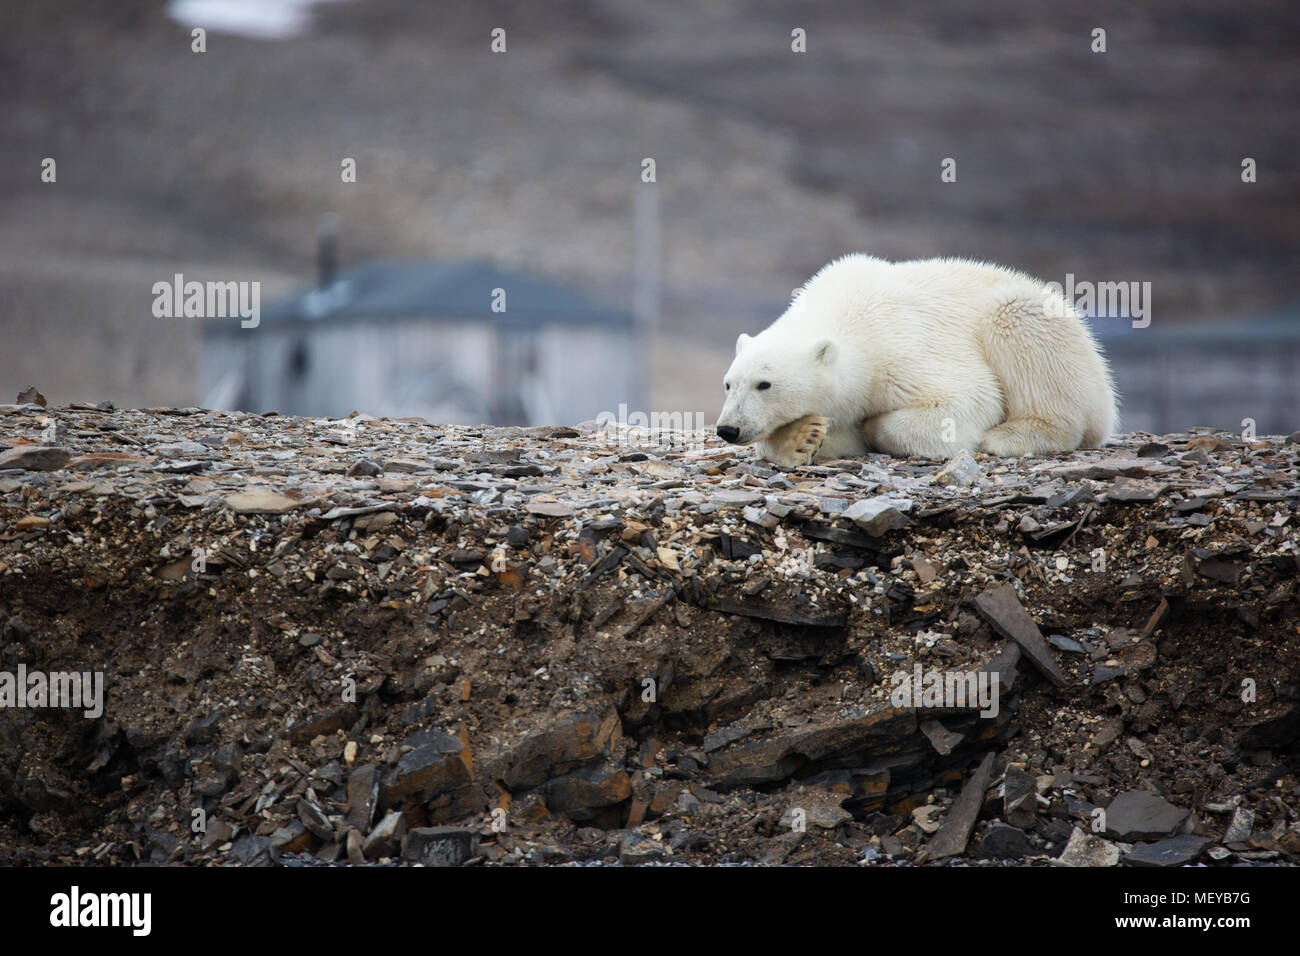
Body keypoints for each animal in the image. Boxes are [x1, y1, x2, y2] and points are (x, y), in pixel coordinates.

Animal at [715, 254, 1118, 467]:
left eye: (764, 384)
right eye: (728, 384)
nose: (727, 429)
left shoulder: (899, 350)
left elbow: (966, 401)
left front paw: (871, 426)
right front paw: (802, 436)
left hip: (1042, 326)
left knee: (1018, 319)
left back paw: (1011, 435)